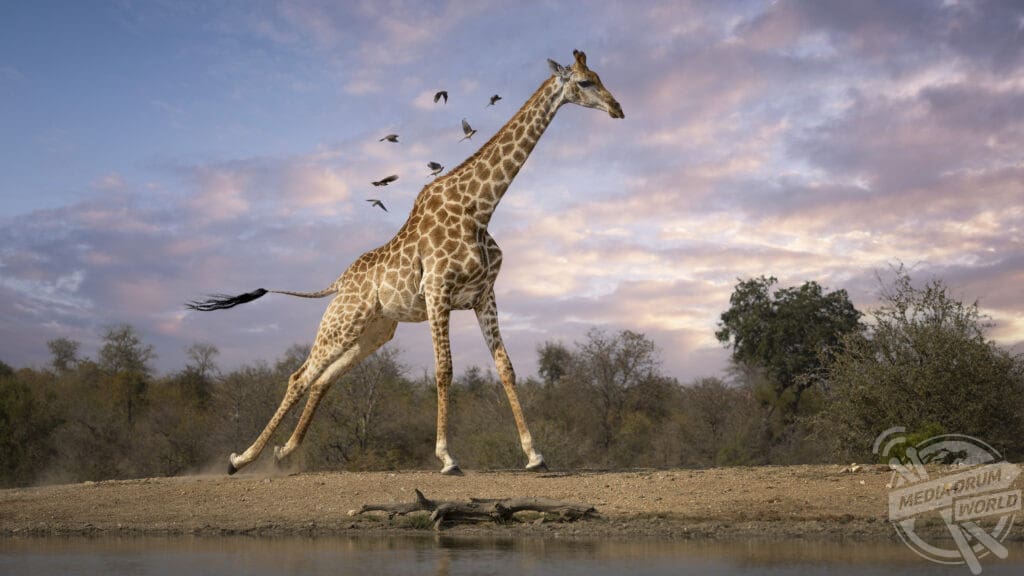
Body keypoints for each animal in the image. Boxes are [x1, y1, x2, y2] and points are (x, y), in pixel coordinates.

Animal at [188, 50, 624, 475]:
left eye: (601, 76)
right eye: (585, 82)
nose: (617, 108)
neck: (479, 209)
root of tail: (338, 281)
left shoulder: (484, 296)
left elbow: (506, 368)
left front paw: (534, 454)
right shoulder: (437, 292)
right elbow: (445, 370)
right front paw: (447, 457)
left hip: (374, 331)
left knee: (323, 379)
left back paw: (283, 453)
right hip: (342, 322)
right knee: (299, 376)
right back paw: (240, 459)